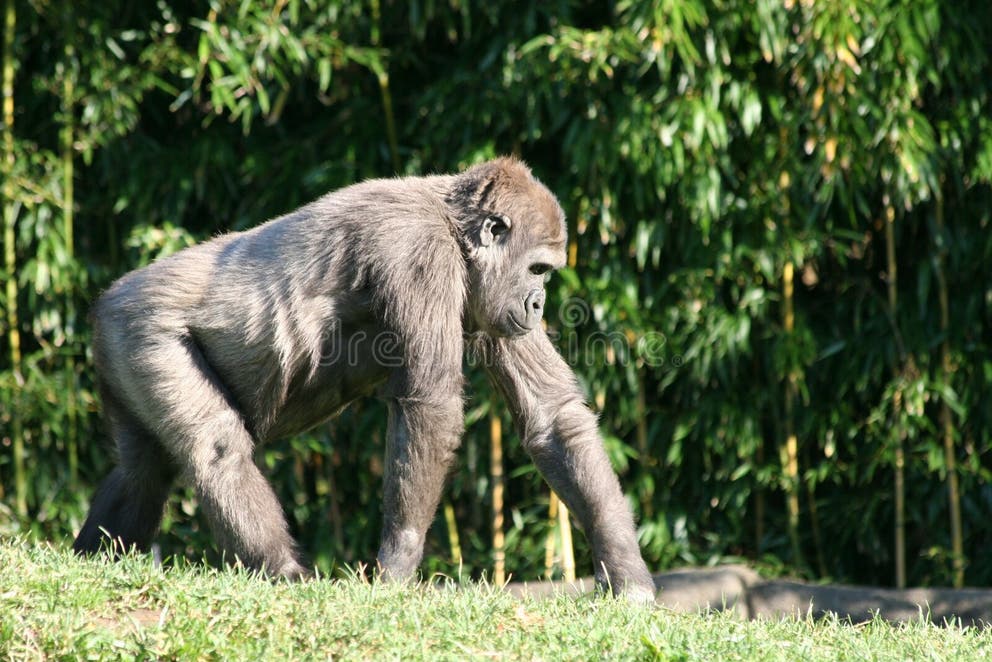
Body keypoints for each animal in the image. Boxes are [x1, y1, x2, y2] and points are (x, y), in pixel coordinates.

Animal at [73, 157, 656, 602]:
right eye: (538, 270)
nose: (537, 305)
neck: (453, 224)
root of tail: (105, 300)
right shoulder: (419, 252)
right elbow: (432, 405)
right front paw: (397, 564)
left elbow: (551, 416)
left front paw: (626, 574)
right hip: (142, 327)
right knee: (215, 448)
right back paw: (286, 574)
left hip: (121, 346)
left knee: (141, 470)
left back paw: (91, 557)